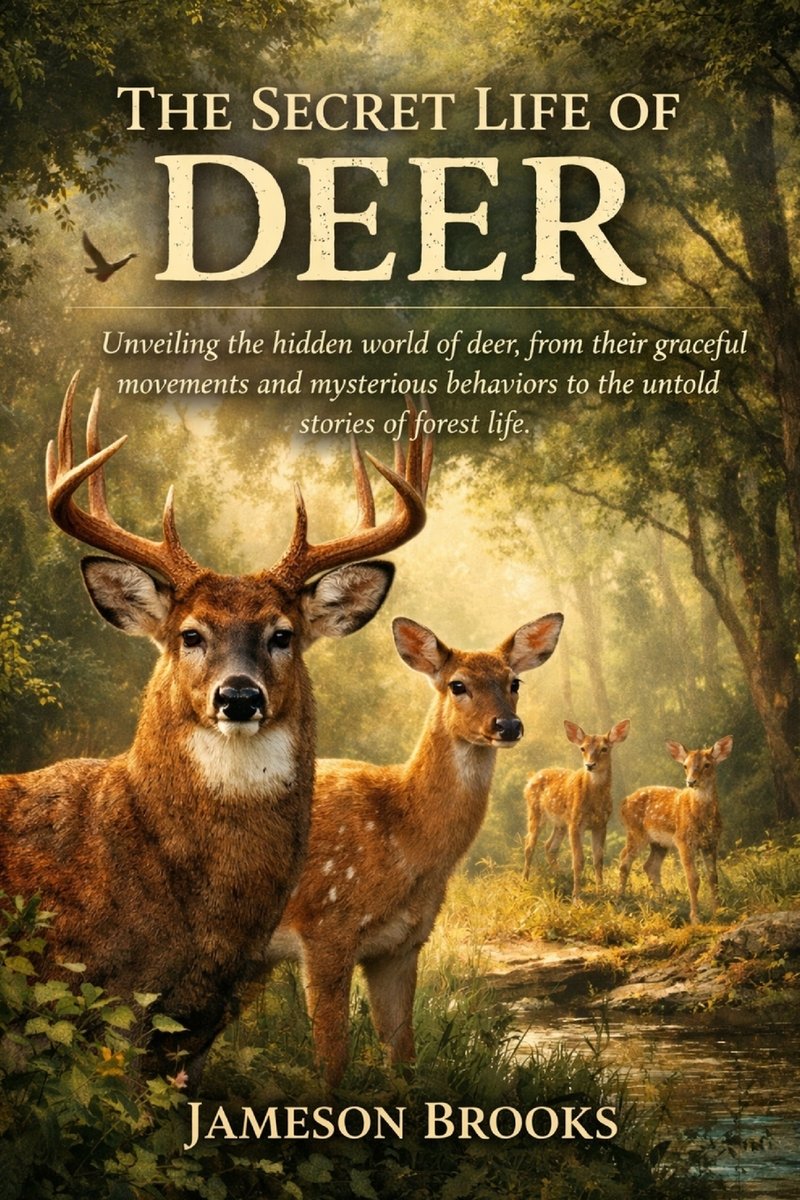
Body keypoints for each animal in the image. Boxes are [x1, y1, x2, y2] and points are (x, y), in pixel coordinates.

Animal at [258, 611, 564, 1087]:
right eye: (457, 685)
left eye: (514, 681)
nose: (508, 726)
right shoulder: (326, 927)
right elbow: (332, 1061)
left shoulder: (403, 945)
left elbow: (403, 1057)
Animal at [522, 719, 630, 898]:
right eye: (582, 748)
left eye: (604, 748)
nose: (590, 765)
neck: (594, 802)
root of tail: (530, 778)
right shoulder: (575, 823)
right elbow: (578, 860)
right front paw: (576, 897)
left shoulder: (601, 824)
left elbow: (598, 859)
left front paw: (601, 890)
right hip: (535, 812)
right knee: (529, 845)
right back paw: (525, 881)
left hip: (560, 823)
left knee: (549, 847)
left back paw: (561, 877)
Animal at [618, 736, 733, 924]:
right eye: (685, 765)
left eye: (707, 764)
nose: (691, 782)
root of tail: (623, 802)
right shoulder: (683, 840)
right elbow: (693, 879)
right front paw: (695, 918)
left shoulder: (711, 843)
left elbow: (713, 877)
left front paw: (719, 911)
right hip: (635, 832)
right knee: (624, 860)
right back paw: (620, 898)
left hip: (659, 843)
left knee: (650, 866)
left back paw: (665, 901)